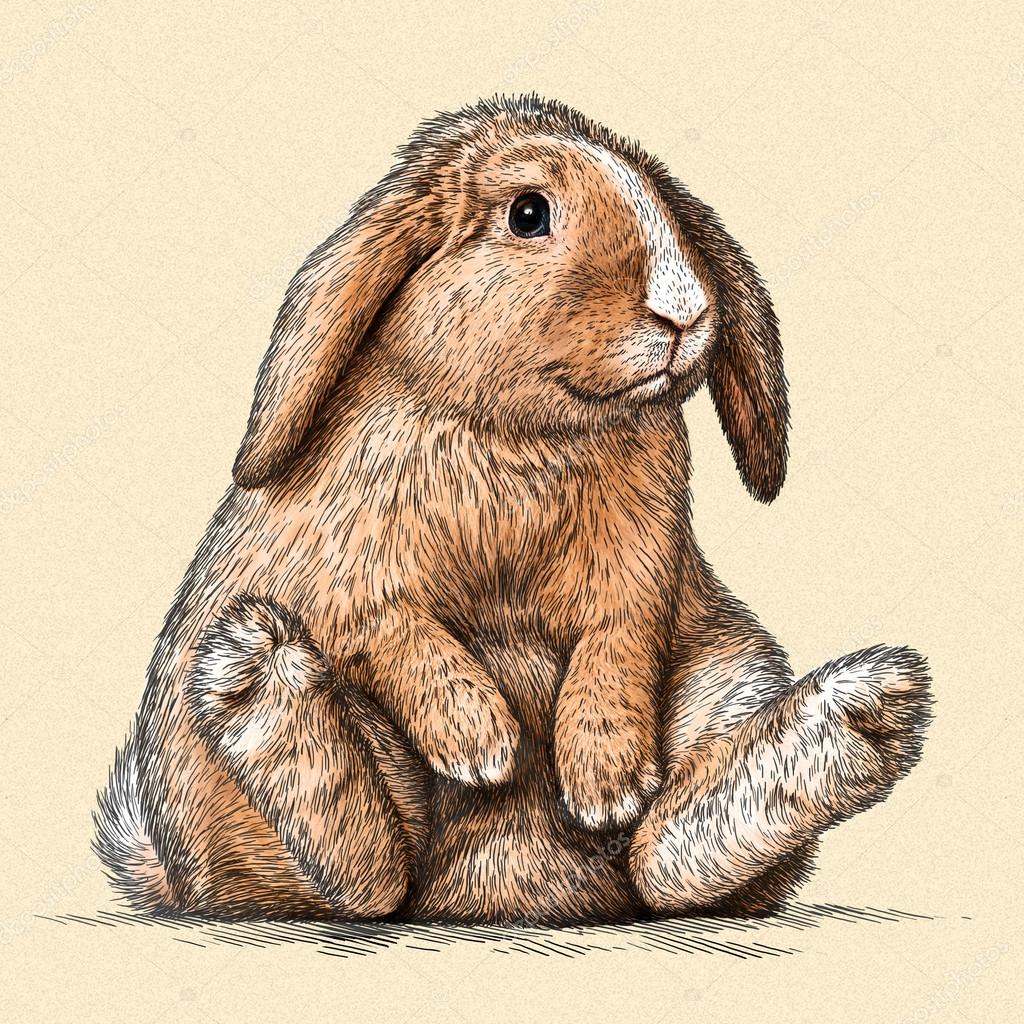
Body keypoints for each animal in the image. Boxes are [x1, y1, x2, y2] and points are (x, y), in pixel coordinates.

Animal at [95, 95, 932, 924]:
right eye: (528, 214)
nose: (684, 310)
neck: (522, 437)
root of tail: (490, 896)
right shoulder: (342, 563)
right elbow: (391, 624)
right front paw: (482, 741)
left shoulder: (641, 560)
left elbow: (619, 636)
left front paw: (605, 783)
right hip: (213, 772)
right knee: (354, 880)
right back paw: (256, 682)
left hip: (729, 672)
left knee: (668, 861)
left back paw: (866, 715)